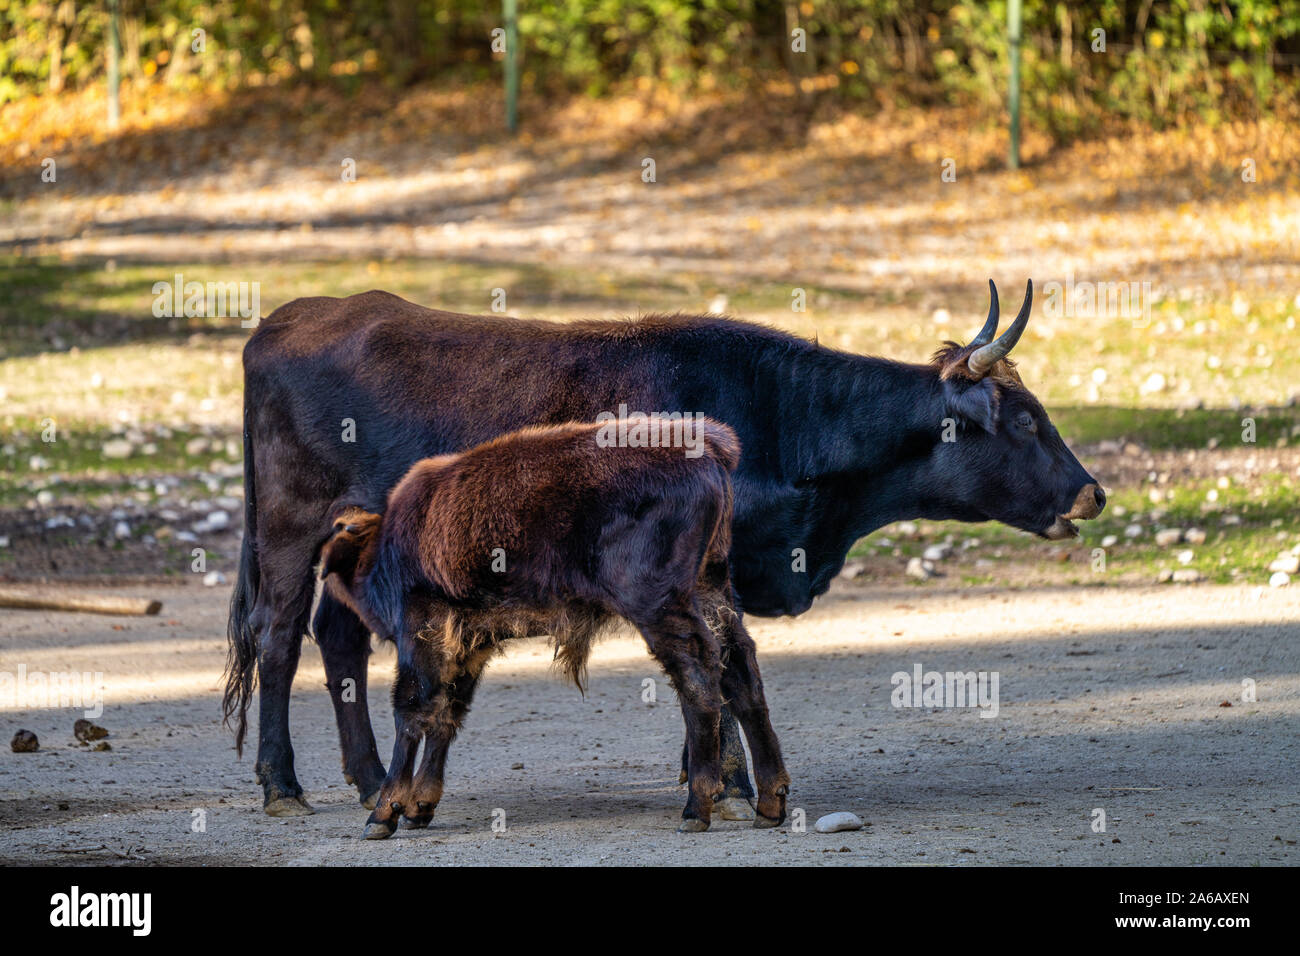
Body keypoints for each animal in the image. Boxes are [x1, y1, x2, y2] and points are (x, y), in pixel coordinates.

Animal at [317, 418, 790, 836]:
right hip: (712, 590)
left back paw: (696, 808)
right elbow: (446, 714)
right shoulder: (470, 645)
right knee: (742, 674)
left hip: (662, 609)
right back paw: (770, 803)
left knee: (699, 679)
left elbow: (412, 710)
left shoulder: (423, 633)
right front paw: (419, 807)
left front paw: (383, 814)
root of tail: (709, 447)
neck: (390, 540)